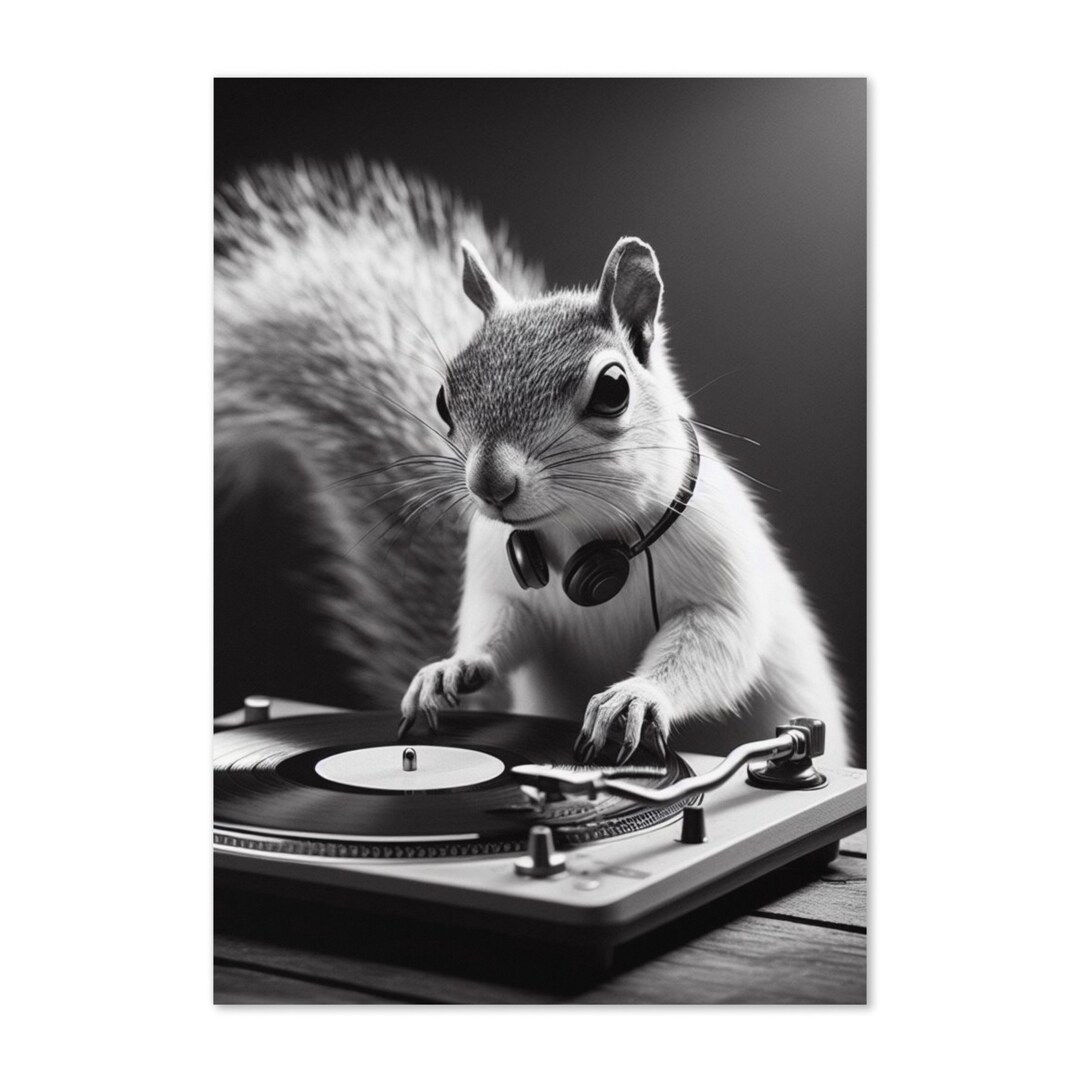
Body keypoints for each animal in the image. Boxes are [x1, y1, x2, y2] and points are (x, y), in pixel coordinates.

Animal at [215, 159, 851, 769]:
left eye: (613, 389)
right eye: (443, 398)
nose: (488, 485)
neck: (588, 535)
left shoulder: (718, 572)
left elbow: (715, 643)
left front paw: (635, 697)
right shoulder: (500, 577)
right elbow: (499, 627)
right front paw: (450, 668)